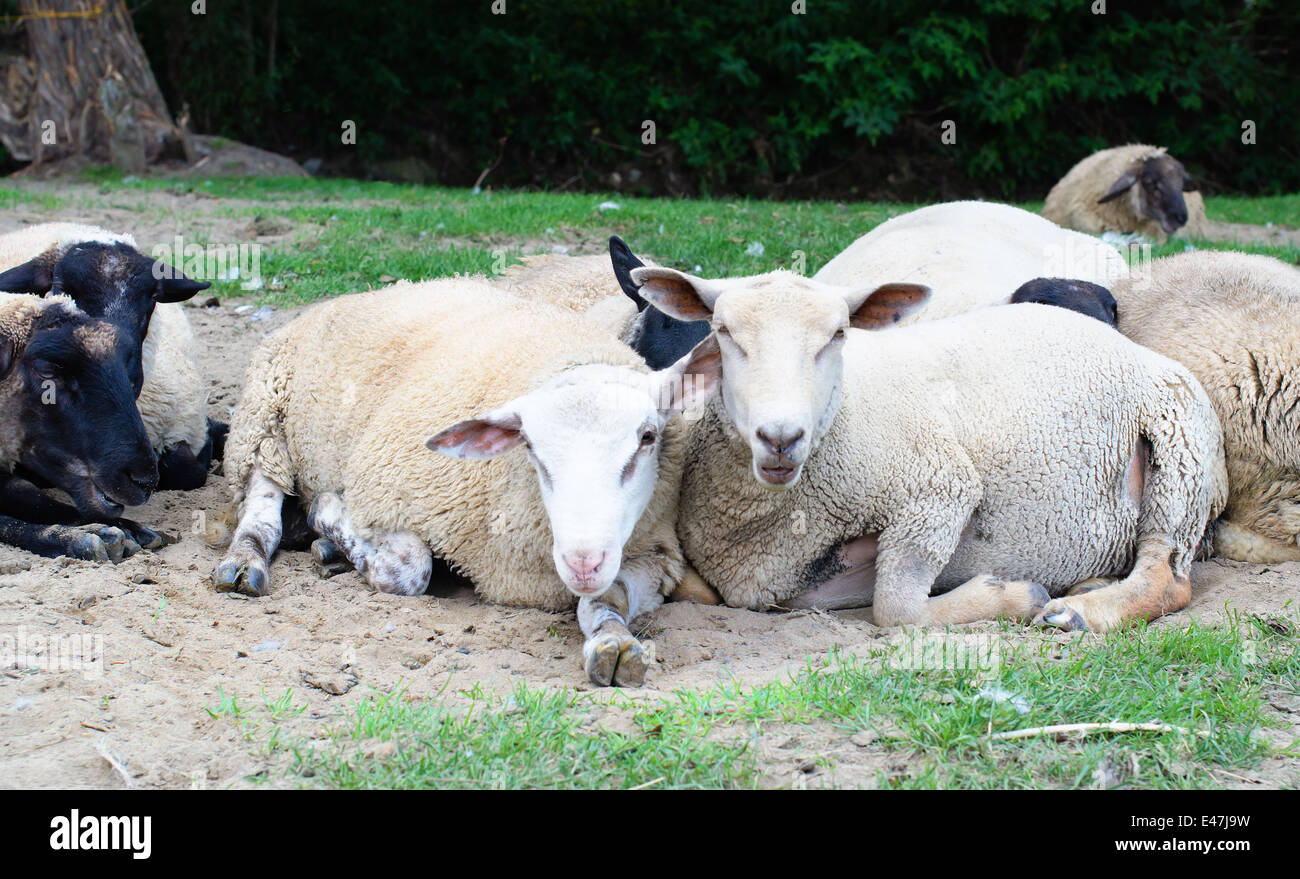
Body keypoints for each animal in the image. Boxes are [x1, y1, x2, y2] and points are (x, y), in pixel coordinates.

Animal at [215, 278, 720, 686]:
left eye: (648, 437)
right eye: (531, 447)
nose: (583, 562)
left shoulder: (655, 554)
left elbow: (604, 600)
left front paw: (612, 639)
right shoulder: (381, 493)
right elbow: (408, 569)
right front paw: (326, 512)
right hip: (263, 420)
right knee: (262, 504)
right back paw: (248, 560)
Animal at [631, 264, 1227, 632]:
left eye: (839, 334)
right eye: (723, 331)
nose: (781, 438)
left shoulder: (940, 486)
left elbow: (896, 609)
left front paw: (1013, 595)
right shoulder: (777, 579)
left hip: (1181, 457)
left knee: (1166, 578)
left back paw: (1079, 613)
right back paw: (1091, 583)